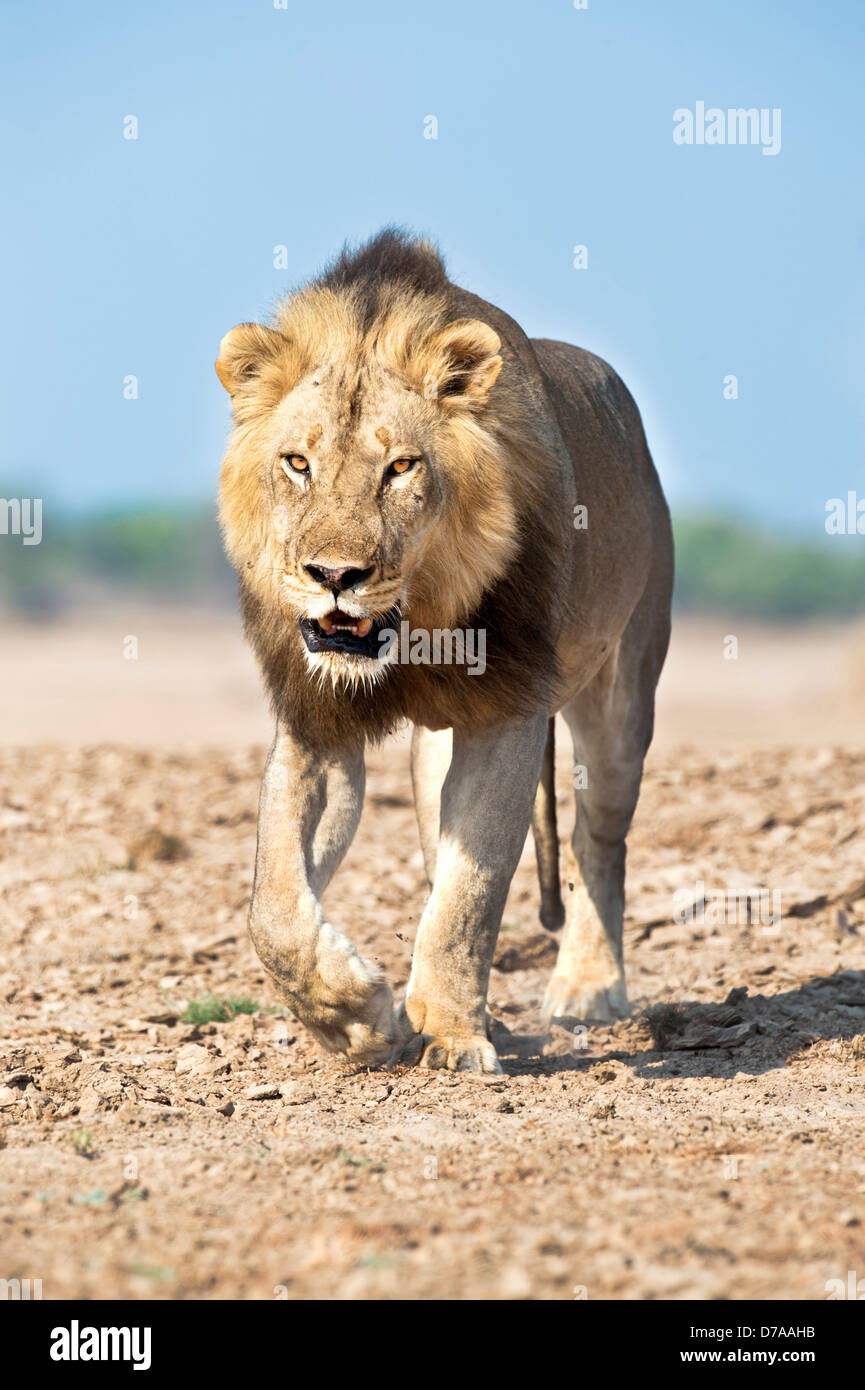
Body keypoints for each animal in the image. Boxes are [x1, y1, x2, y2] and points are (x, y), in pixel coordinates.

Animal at [215, 228, 673, 1073]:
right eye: (297, 462)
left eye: (401, 467)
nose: (335, 577)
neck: (414, 624)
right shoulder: (316, 726)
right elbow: (274, 910)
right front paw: (354, 1016)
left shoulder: (508, 714)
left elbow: (472, 896)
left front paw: (454, 1037)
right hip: (436, 744)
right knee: (437, 849)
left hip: (621, 696)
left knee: (597, 841)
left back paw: (589, 987)